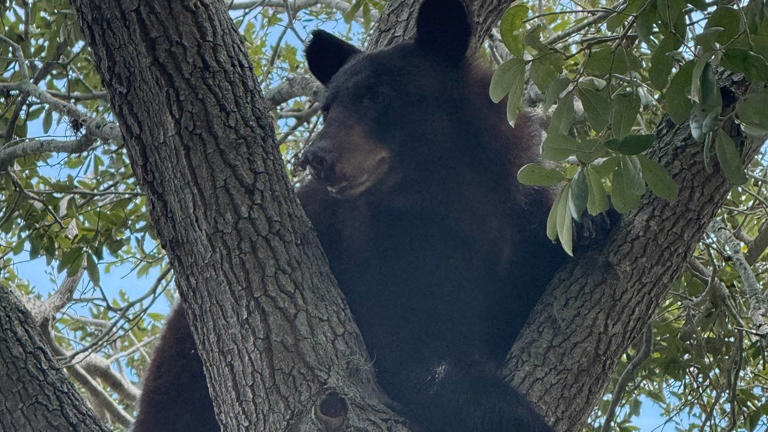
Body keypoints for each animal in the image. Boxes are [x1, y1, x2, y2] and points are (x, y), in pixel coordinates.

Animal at [132, 0, 565, 431]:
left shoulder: (517, 212)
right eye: (327, 109)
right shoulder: (376, 252)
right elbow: (409, 352)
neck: (445, 193)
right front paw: (514, 413)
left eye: (376, 97)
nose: (316, 157)